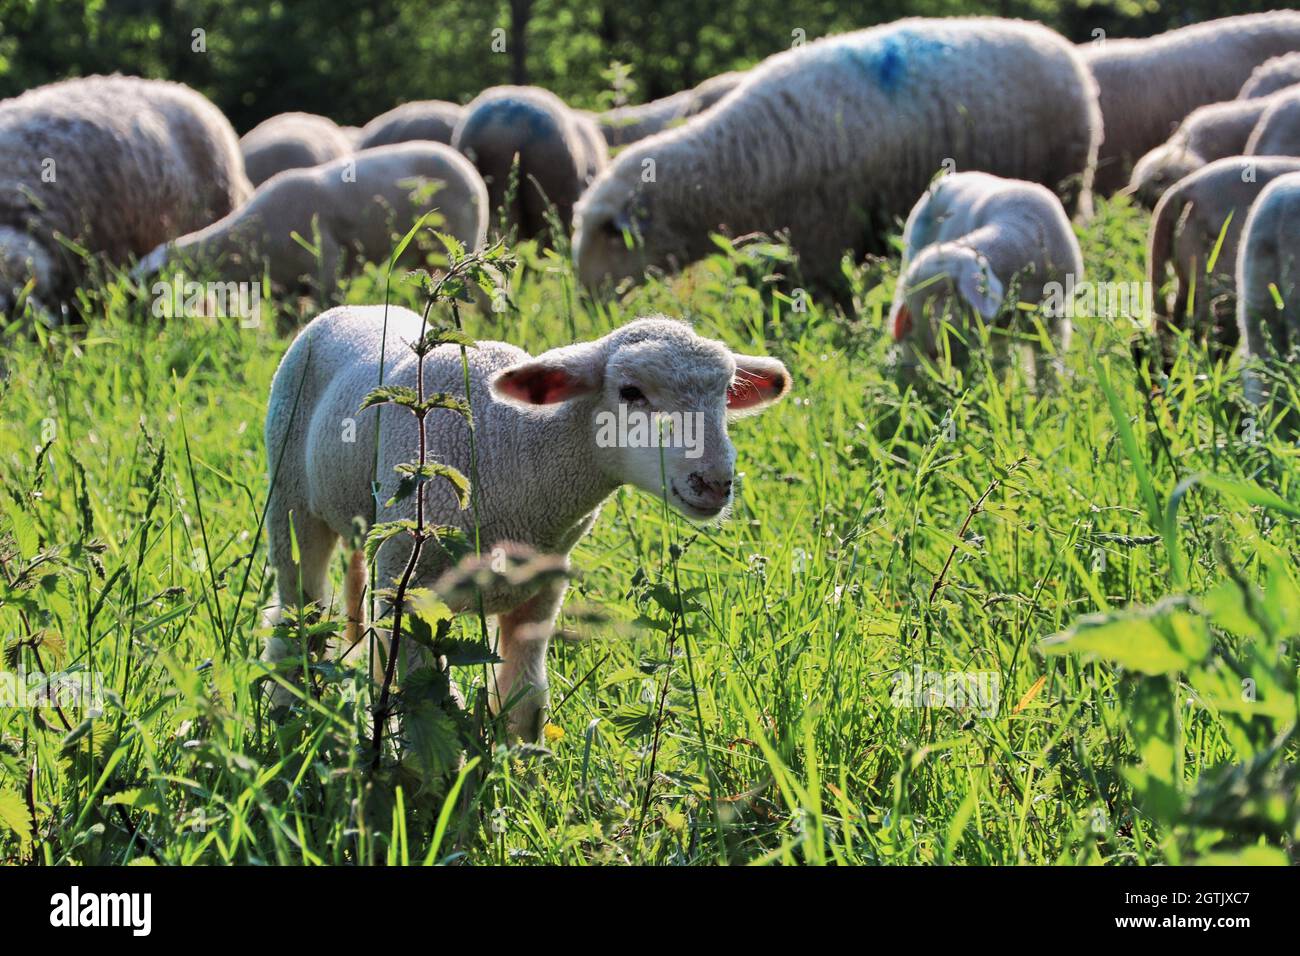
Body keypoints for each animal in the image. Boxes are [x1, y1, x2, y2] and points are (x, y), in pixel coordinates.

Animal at [261, 310, 791, 740]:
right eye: (631, 392)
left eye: (724, 396)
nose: (715, 483)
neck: (514, 447)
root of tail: (353, 307)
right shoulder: (406, 588)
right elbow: (428, 702)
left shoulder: (541, 587)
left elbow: (526, 701)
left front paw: (525, 776)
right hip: (290, 496)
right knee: (299, 612)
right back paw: (286, 710)